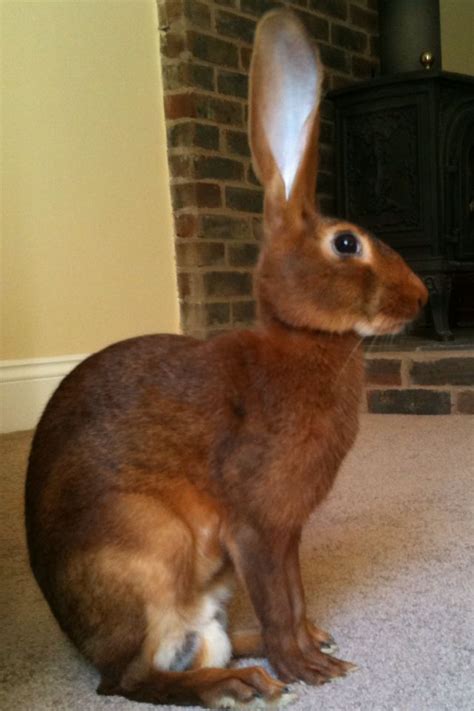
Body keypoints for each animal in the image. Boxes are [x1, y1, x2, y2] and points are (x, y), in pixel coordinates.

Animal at [24, 9, 428, 710]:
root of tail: (83, 643)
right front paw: (308, 671)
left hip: (208, 586)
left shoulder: (287, 534)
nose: (423, 297)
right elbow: (278, 603)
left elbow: (293, 599)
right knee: (131, 680)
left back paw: (262, 658)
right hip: (150, 554)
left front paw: (309, 650)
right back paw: (239, 683)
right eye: (347, 244)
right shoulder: (256, 529)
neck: (300, 342)